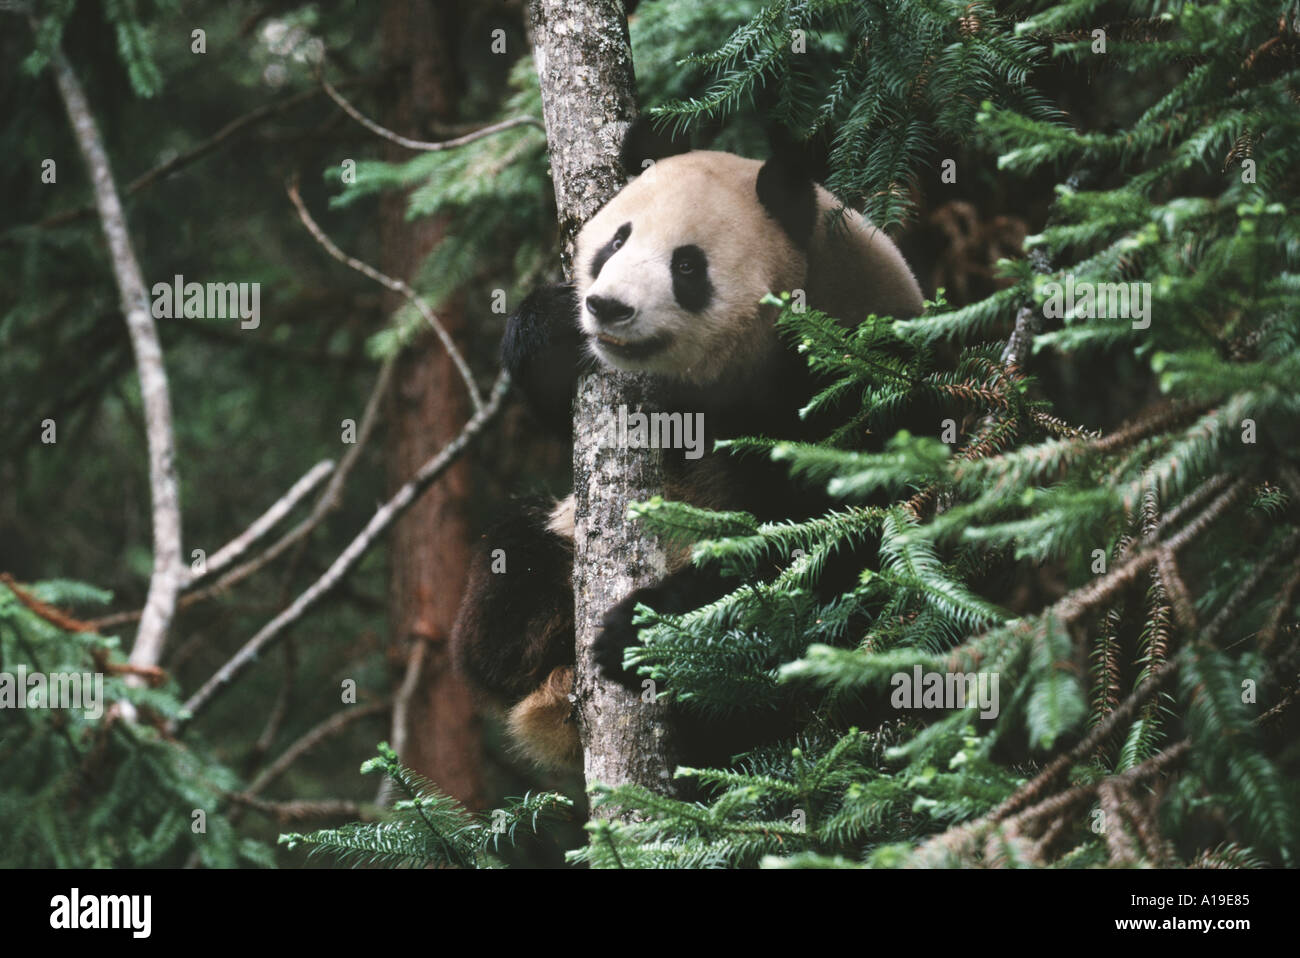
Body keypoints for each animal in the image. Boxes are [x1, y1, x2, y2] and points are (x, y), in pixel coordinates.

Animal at [451, 126, 925, 772]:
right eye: (617, 239)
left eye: (686, 265)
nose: (607, 307)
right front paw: (552, 327)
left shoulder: (854, 386)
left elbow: (817, 541)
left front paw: (645, 630)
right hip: (555, 530)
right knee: (515, 550)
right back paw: (514, 632)